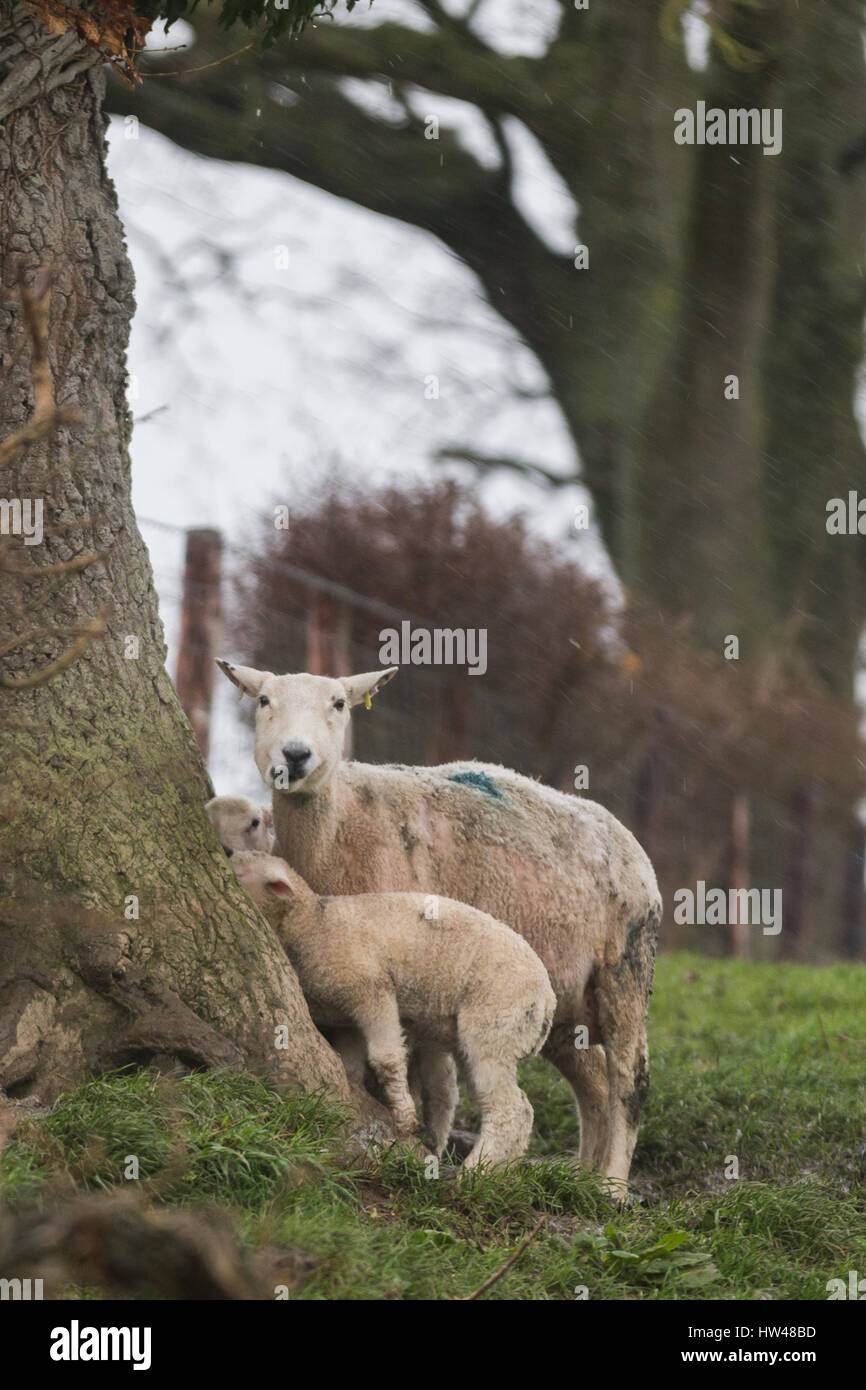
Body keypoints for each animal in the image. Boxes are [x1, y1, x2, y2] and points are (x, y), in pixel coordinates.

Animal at [230, 849, 555, 1168]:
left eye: (240, 874)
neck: (313, 922)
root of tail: (548, 999)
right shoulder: (345, 1019)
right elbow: (350, 1064)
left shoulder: (371, 988)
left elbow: (386, 1057)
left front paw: (405, 1116)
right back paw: (493, 1168)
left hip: (496, 1025)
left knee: (511, 1110)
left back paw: (473, 1172)